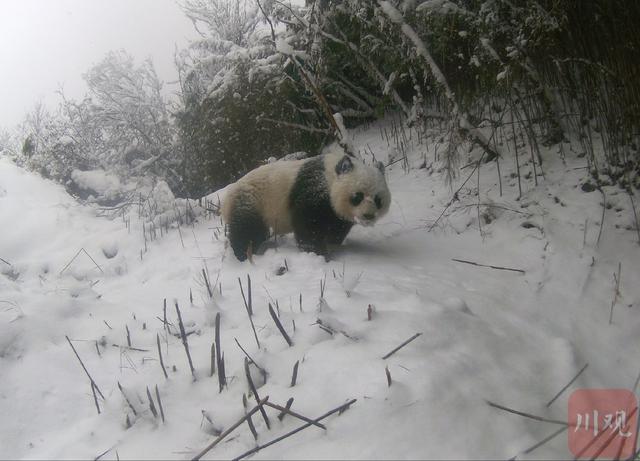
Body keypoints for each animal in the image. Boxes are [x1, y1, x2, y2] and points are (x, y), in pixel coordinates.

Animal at [221, 150, 390, 260]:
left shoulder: (336, 213)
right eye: (357, 197)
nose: (368, 216)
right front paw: (316, 253)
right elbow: (309, 226)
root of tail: (227, 198)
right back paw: (244, 255)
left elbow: (337, 227)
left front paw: (332, 244)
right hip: (252, 202)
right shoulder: (313, 190)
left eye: (378, 199)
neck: (329, 175)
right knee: (247, 231)